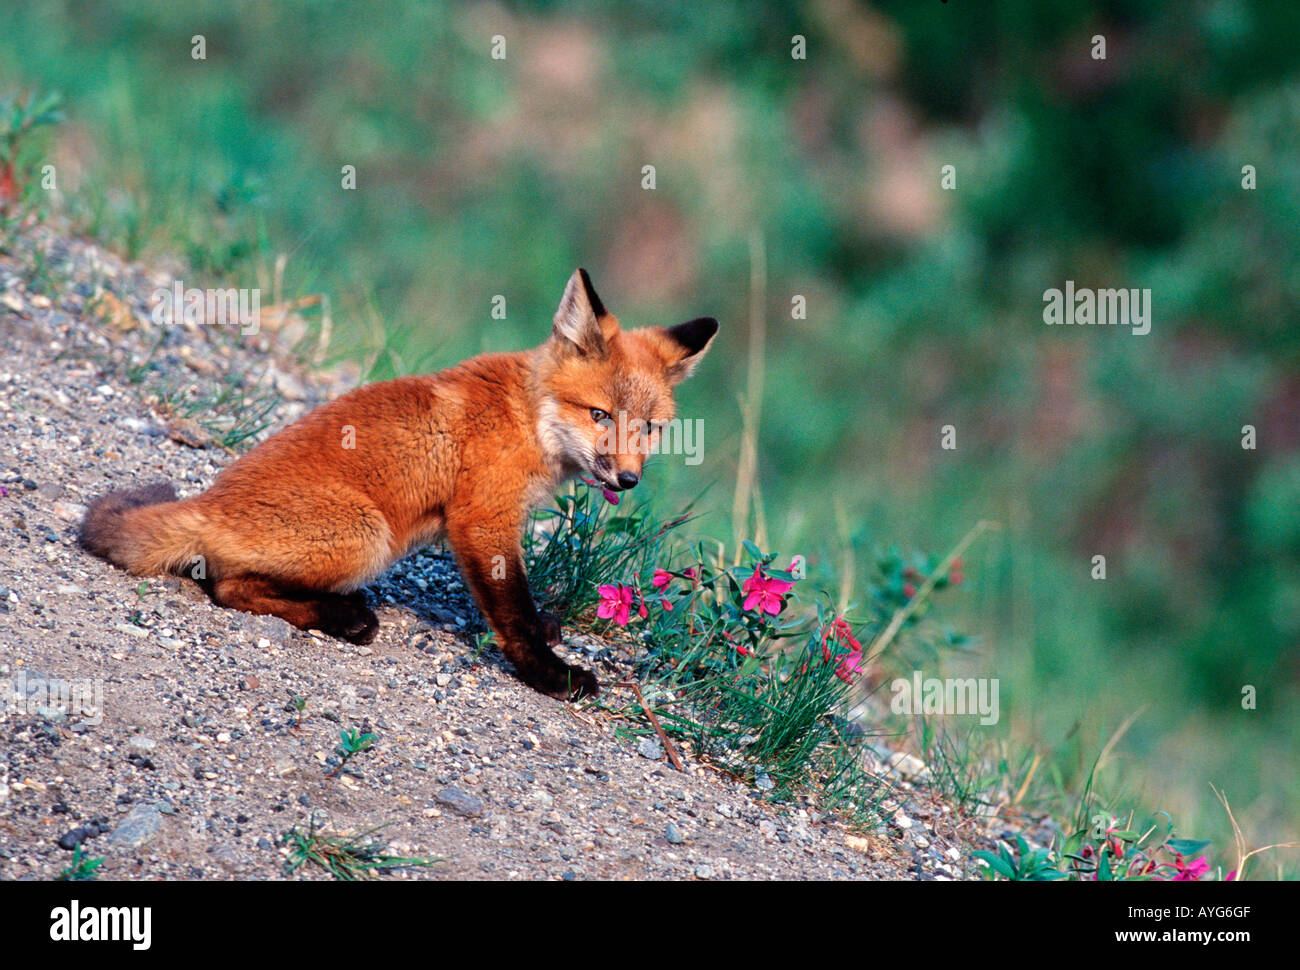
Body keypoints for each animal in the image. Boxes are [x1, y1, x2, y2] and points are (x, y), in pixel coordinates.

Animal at [79, 269, 717, 700]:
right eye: (600, 414)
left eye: (650, 427)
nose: (627, 479)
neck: (527, 417)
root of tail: (207, 502)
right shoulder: (482, 520)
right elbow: (510, 611)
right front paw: (549, 674)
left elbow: (524, 604)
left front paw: (546, 634)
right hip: (367, 535)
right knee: (227, 586)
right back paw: (345, 617)